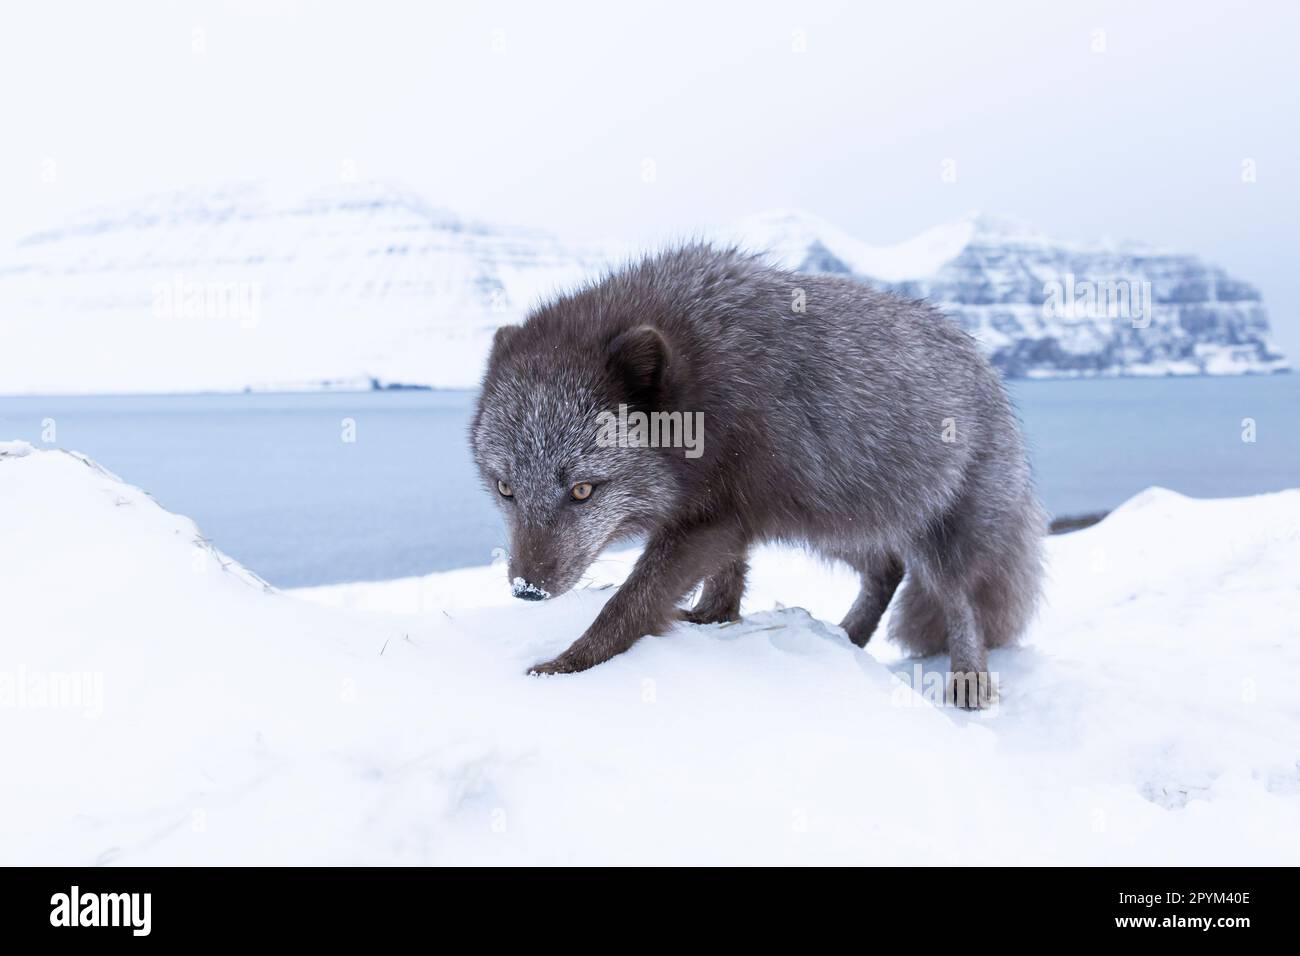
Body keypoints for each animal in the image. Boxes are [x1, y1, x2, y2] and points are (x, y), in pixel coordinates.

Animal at [470, 245, 1045, 706]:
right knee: (887, 570)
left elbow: (628, 604)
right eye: (506, 488)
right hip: (832, 520)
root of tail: (985, 366)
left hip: (934, 532)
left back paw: (968, 684)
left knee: (959, 602)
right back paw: (846, 638)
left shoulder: (716, 517)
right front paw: (712, 620)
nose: (526, 590)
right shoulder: (722, 514)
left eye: (583, 490)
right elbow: (726, 579)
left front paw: (566, 668)